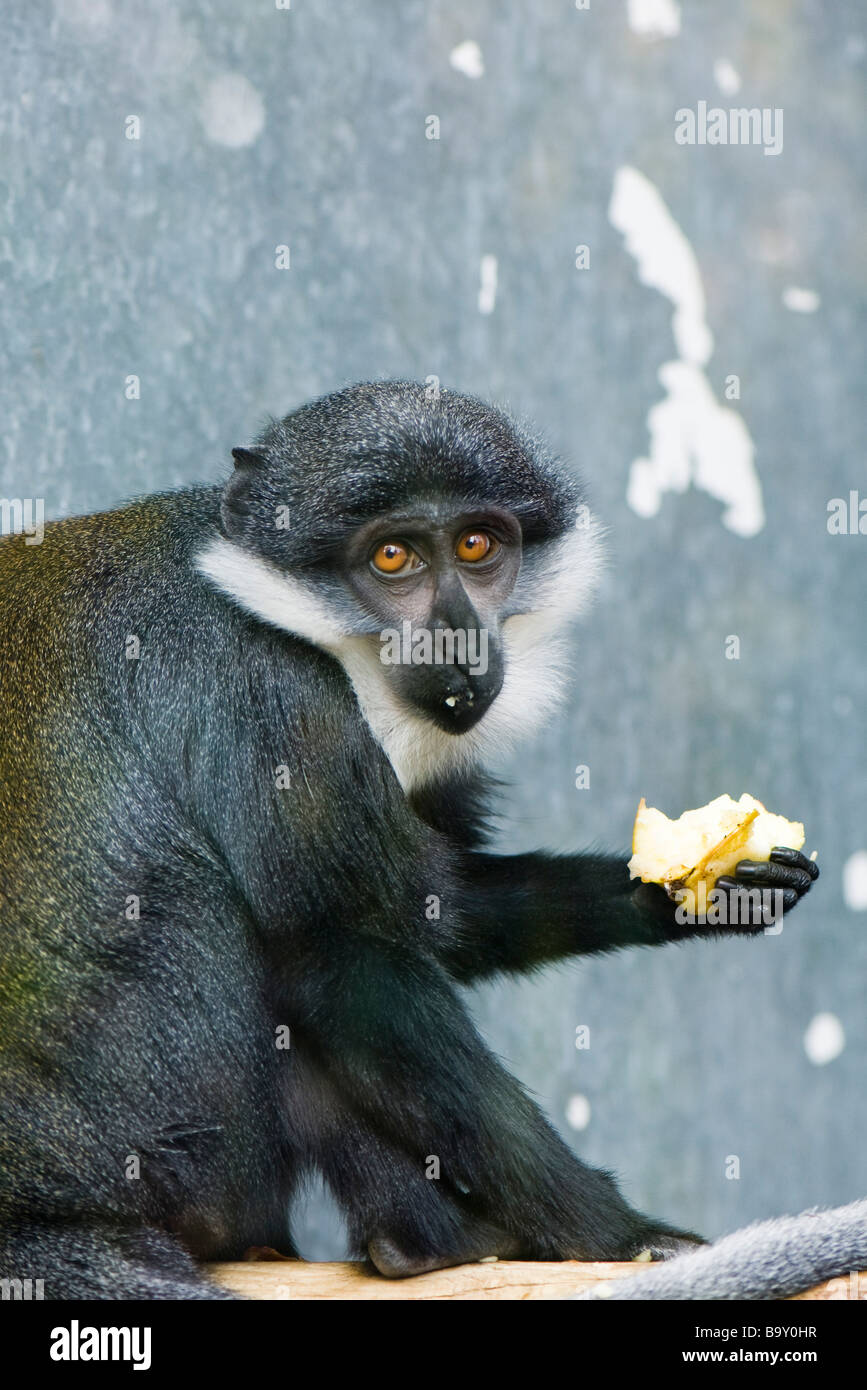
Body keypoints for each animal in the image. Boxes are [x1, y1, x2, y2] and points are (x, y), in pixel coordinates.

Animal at [0, 380, 819, 1299]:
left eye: (475, 544)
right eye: (392, 558)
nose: (459, 639)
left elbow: (439, 909)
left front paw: (705, 892)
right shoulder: (272, 693)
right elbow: (350, 961)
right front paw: (621, 1232)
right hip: (184, 1157)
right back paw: (423, 1242)